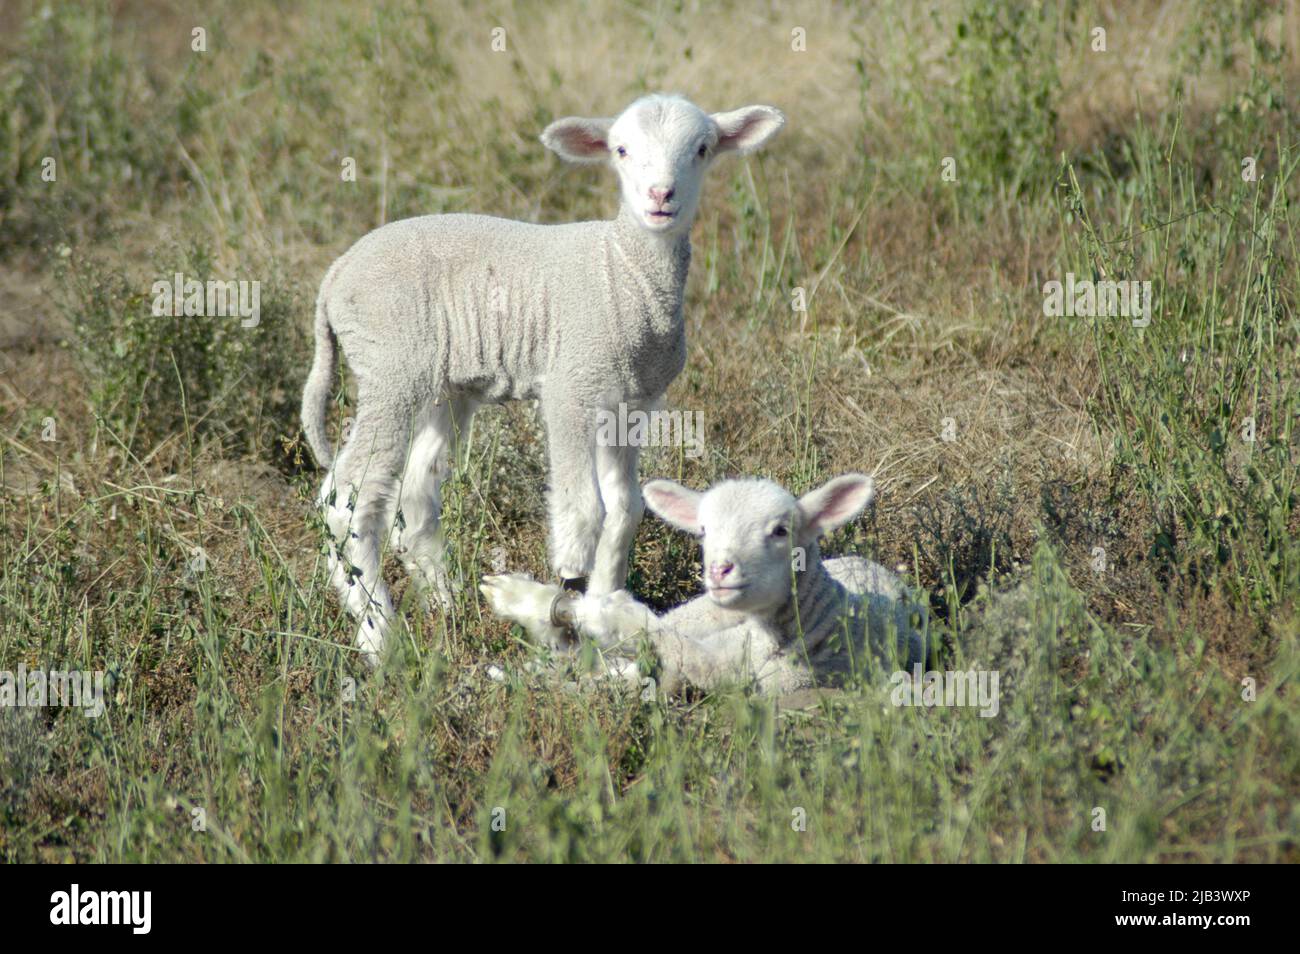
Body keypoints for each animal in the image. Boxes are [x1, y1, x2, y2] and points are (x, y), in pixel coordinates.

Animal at [300, 94, 785, 662]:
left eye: (704, 149)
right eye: (621, 150)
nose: (660, 196)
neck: (620, 269)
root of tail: (336, 275)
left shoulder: (631, 401)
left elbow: (625, 509)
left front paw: (605, 605)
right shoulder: (572, 386)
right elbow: (584, 511)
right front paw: (566, 593)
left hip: (444, 386)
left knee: (415, 495)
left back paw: (446, 604)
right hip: (390, 365)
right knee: (346, 498)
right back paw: (379, 634)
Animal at [480, 473, 929, 695]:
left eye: (781, 531)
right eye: (703, 530)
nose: (720, 570)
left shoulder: (754, 679)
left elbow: (679, 656)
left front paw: (608, 614)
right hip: (699, 611)